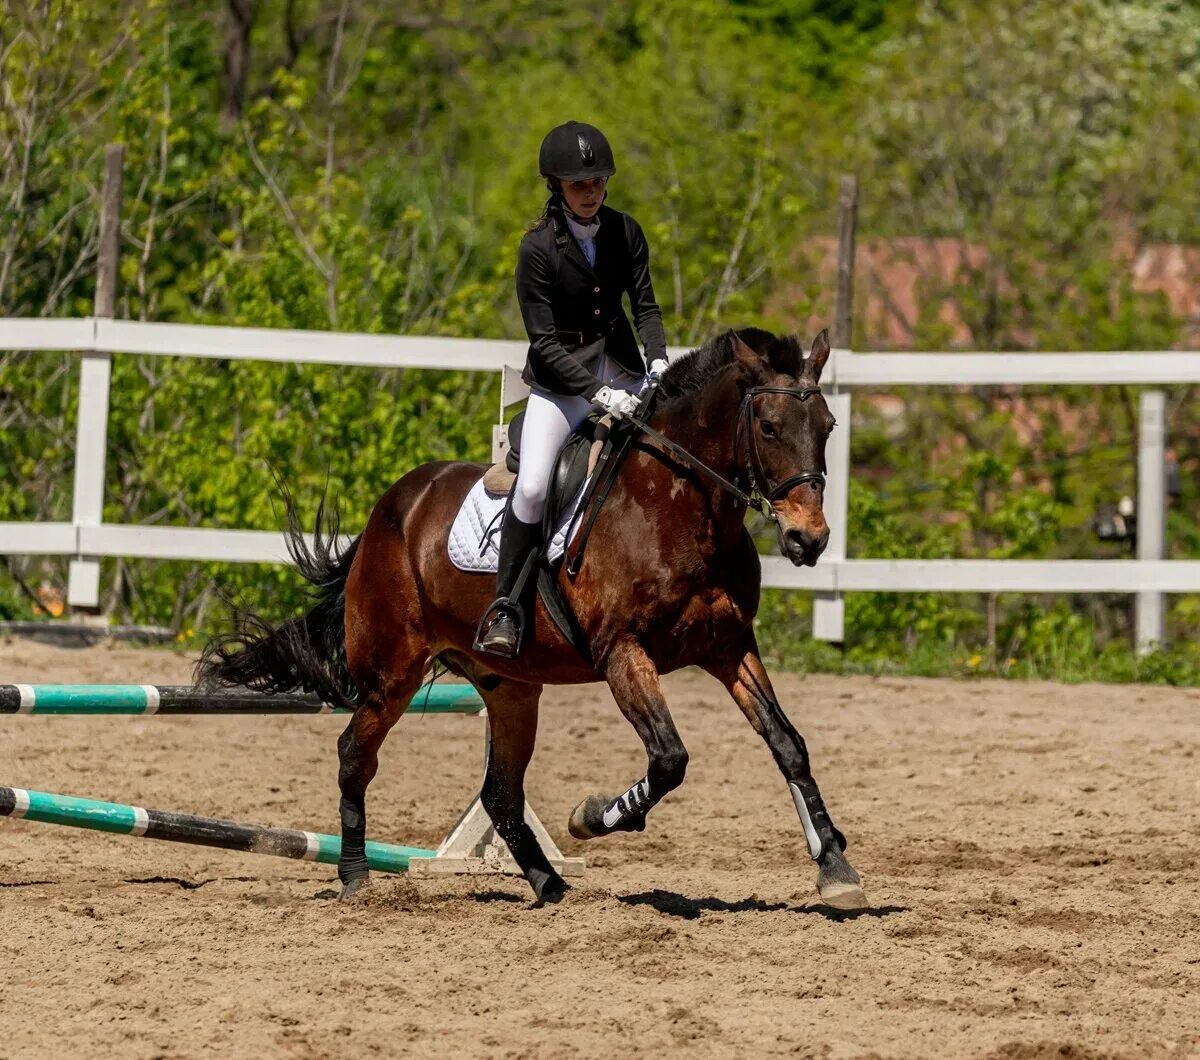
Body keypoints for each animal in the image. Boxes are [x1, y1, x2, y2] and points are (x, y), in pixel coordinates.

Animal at [201, 326, 868, 907]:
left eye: (829, 426)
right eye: (770, 426)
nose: (809, 540)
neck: (680, 505)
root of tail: (387, 511)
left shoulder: (729, 647)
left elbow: (788, 744)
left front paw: (835, 869)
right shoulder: (623, 653)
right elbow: (669, 757)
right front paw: (592, 817)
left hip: (510, 688)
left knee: (499, 792)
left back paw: (551, 886)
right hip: (393, 676)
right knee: (353, 756)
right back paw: (356, 877)